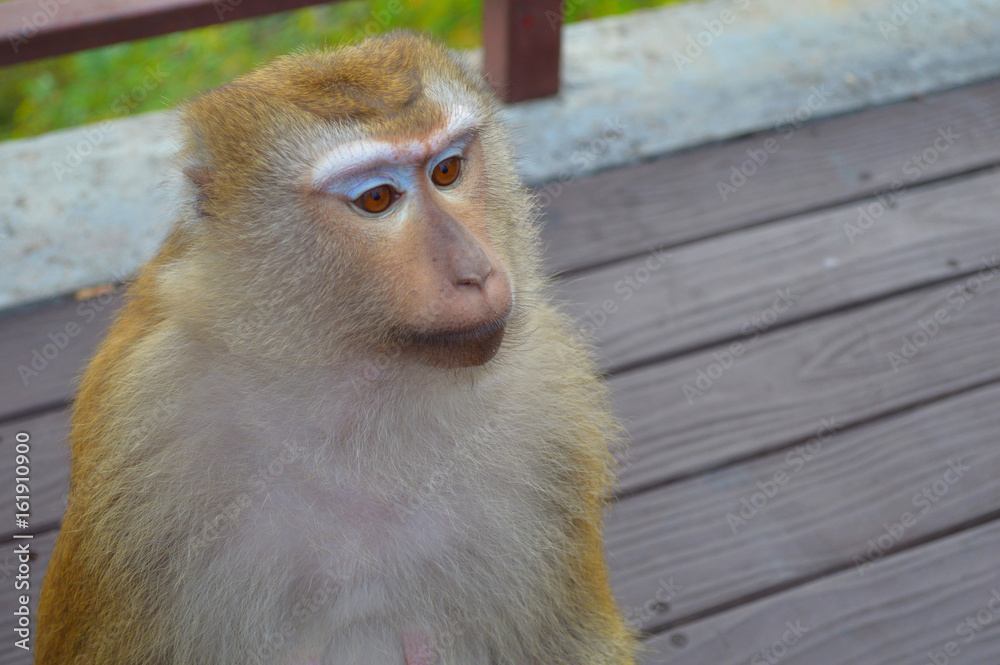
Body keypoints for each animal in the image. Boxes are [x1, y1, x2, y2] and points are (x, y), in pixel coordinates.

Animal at [35, 31, 637, 665]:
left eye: (447, 170)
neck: (356, 397)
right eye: (376, 199)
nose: (475, 271)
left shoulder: (551, 405)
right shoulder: (139, 439)